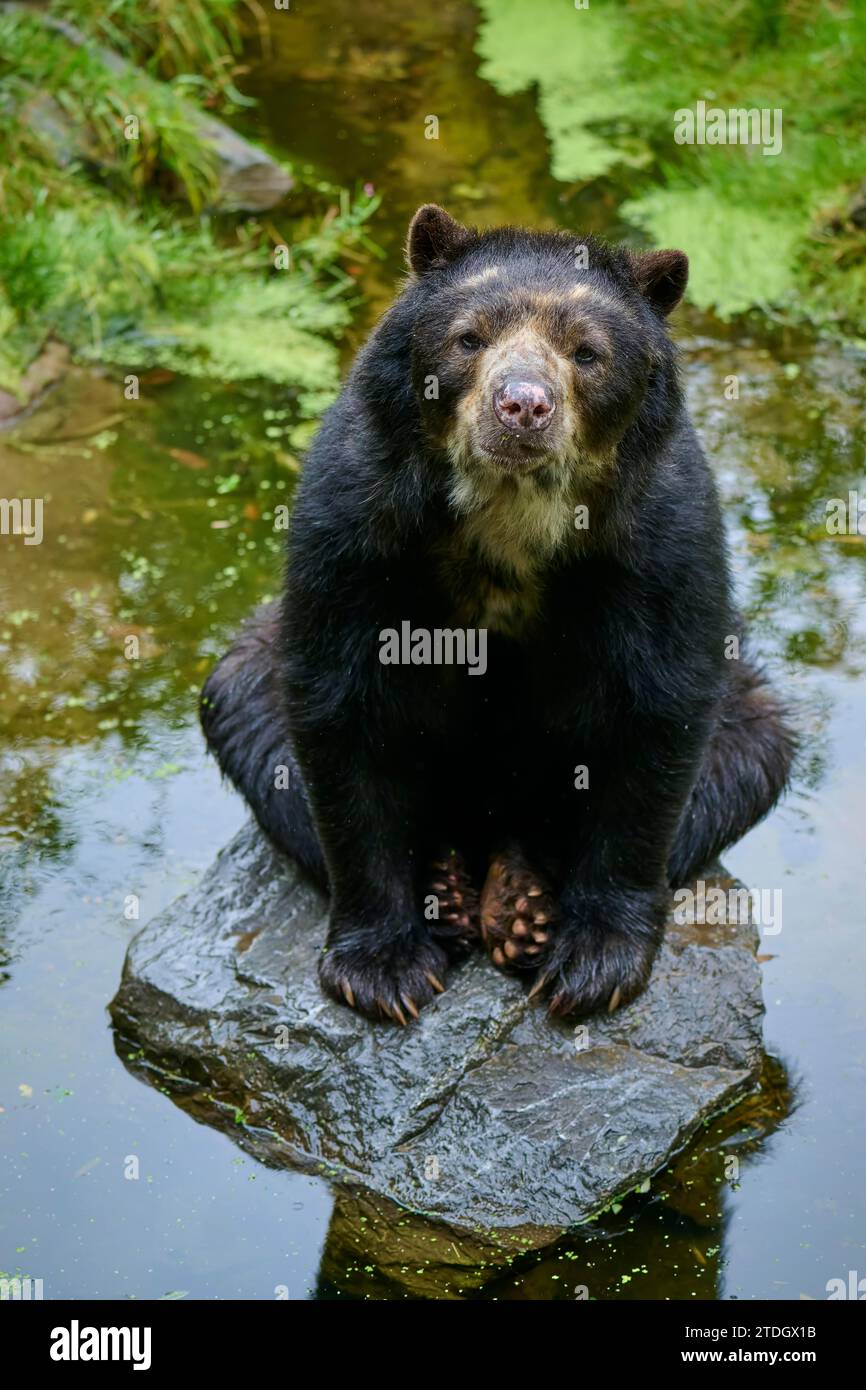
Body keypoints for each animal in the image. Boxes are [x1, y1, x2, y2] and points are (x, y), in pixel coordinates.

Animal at [200, 204, 795, 1025]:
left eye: (587, 353)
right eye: (469, 337)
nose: (522, 406)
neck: (510, 513)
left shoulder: (661, 538)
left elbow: (659, 717)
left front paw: (594, 963)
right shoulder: (356, 518)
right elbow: (339, 705)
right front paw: (382, 969)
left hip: (747, 716)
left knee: (742, 756)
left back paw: (517, 902)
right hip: (252, 669)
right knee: (251, 717)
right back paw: (451, 893)